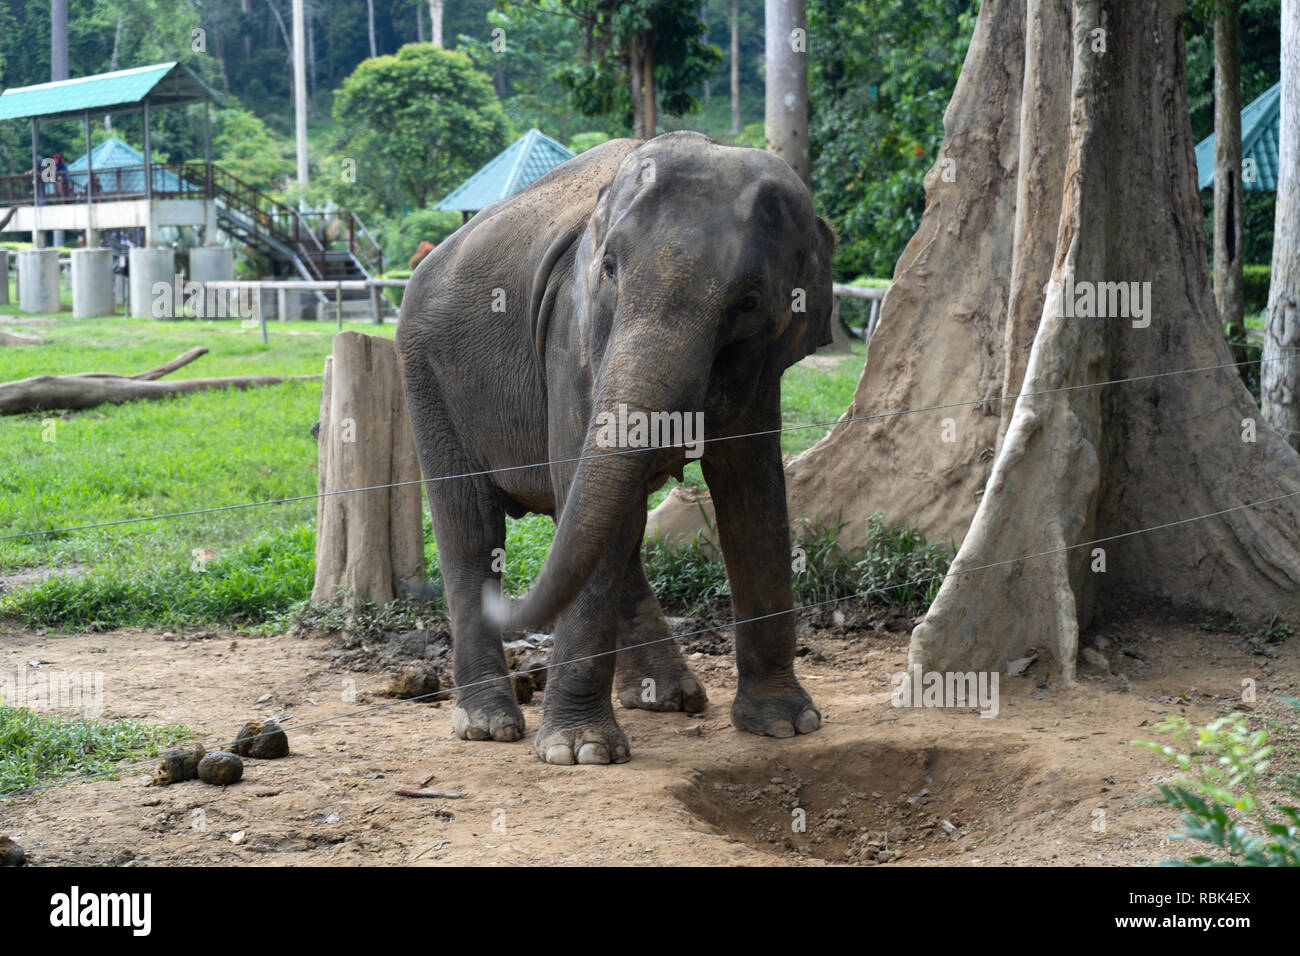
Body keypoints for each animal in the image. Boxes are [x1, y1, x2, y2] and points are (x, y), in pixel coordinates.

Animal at [394, 130, 835, 765]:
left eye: (750, 302)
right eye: (608, 269)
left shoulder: (763, 368)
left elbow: (754, 498)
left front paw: (786, 726)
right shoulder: (570, 337)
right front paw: (578, 752)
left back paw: (667, 697)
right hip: (424, 376)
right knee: (473, 530)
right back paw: (487, 725)